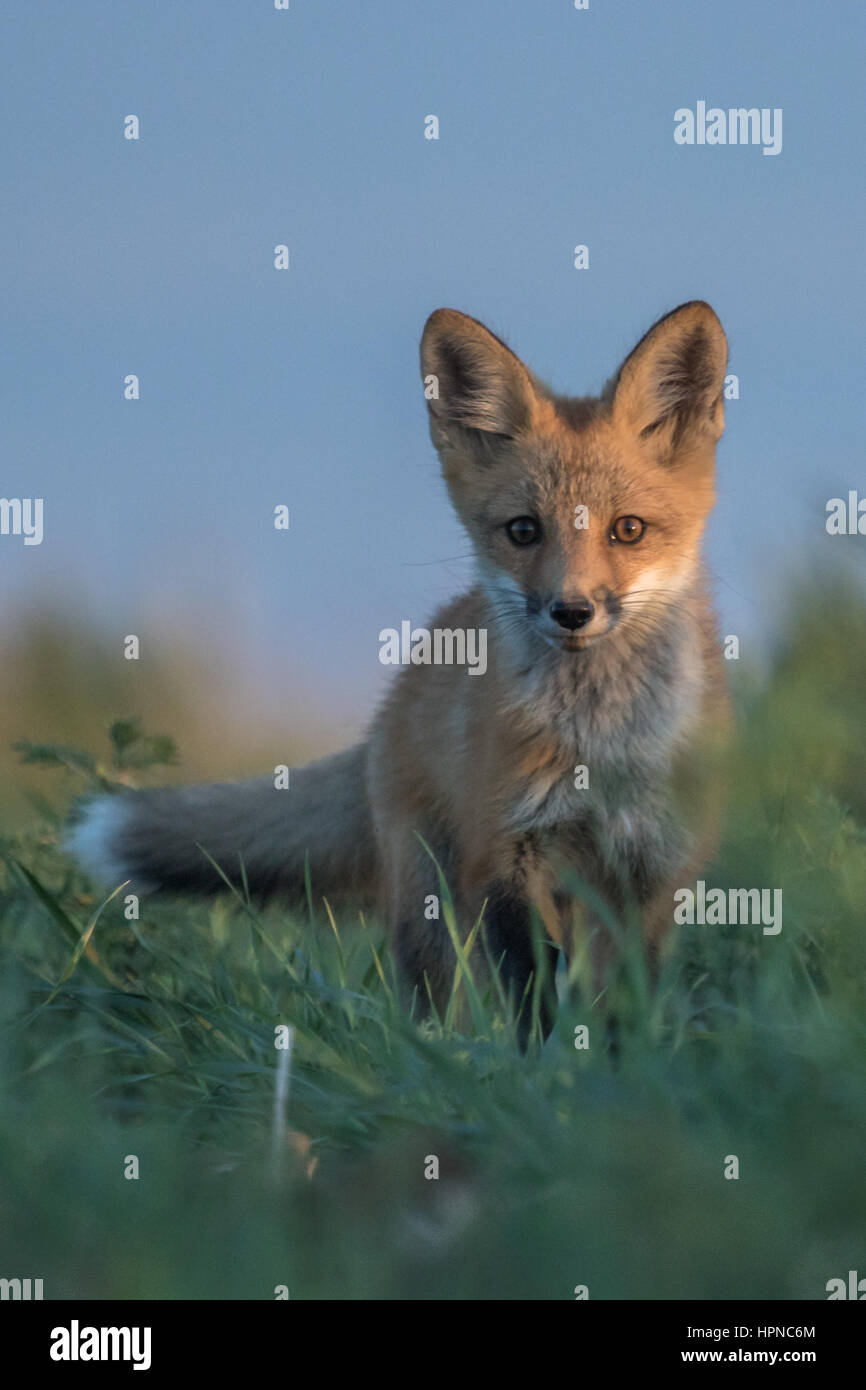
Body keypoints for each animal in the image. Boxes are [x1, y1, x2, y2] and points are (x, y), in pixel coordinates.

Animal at [68, 300, 731, 1039]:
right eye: (523, 530)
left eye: (628, 530)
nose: (571, 611)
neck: (600, 743)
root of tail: (391, 704)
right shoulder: (503, 858)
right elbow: (533, 1003)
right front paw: (542, 1068)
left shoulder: (654, 869)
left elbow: (623, 1010)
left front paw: (613, 1065)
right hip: (430, 900)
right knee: (439, 1008)